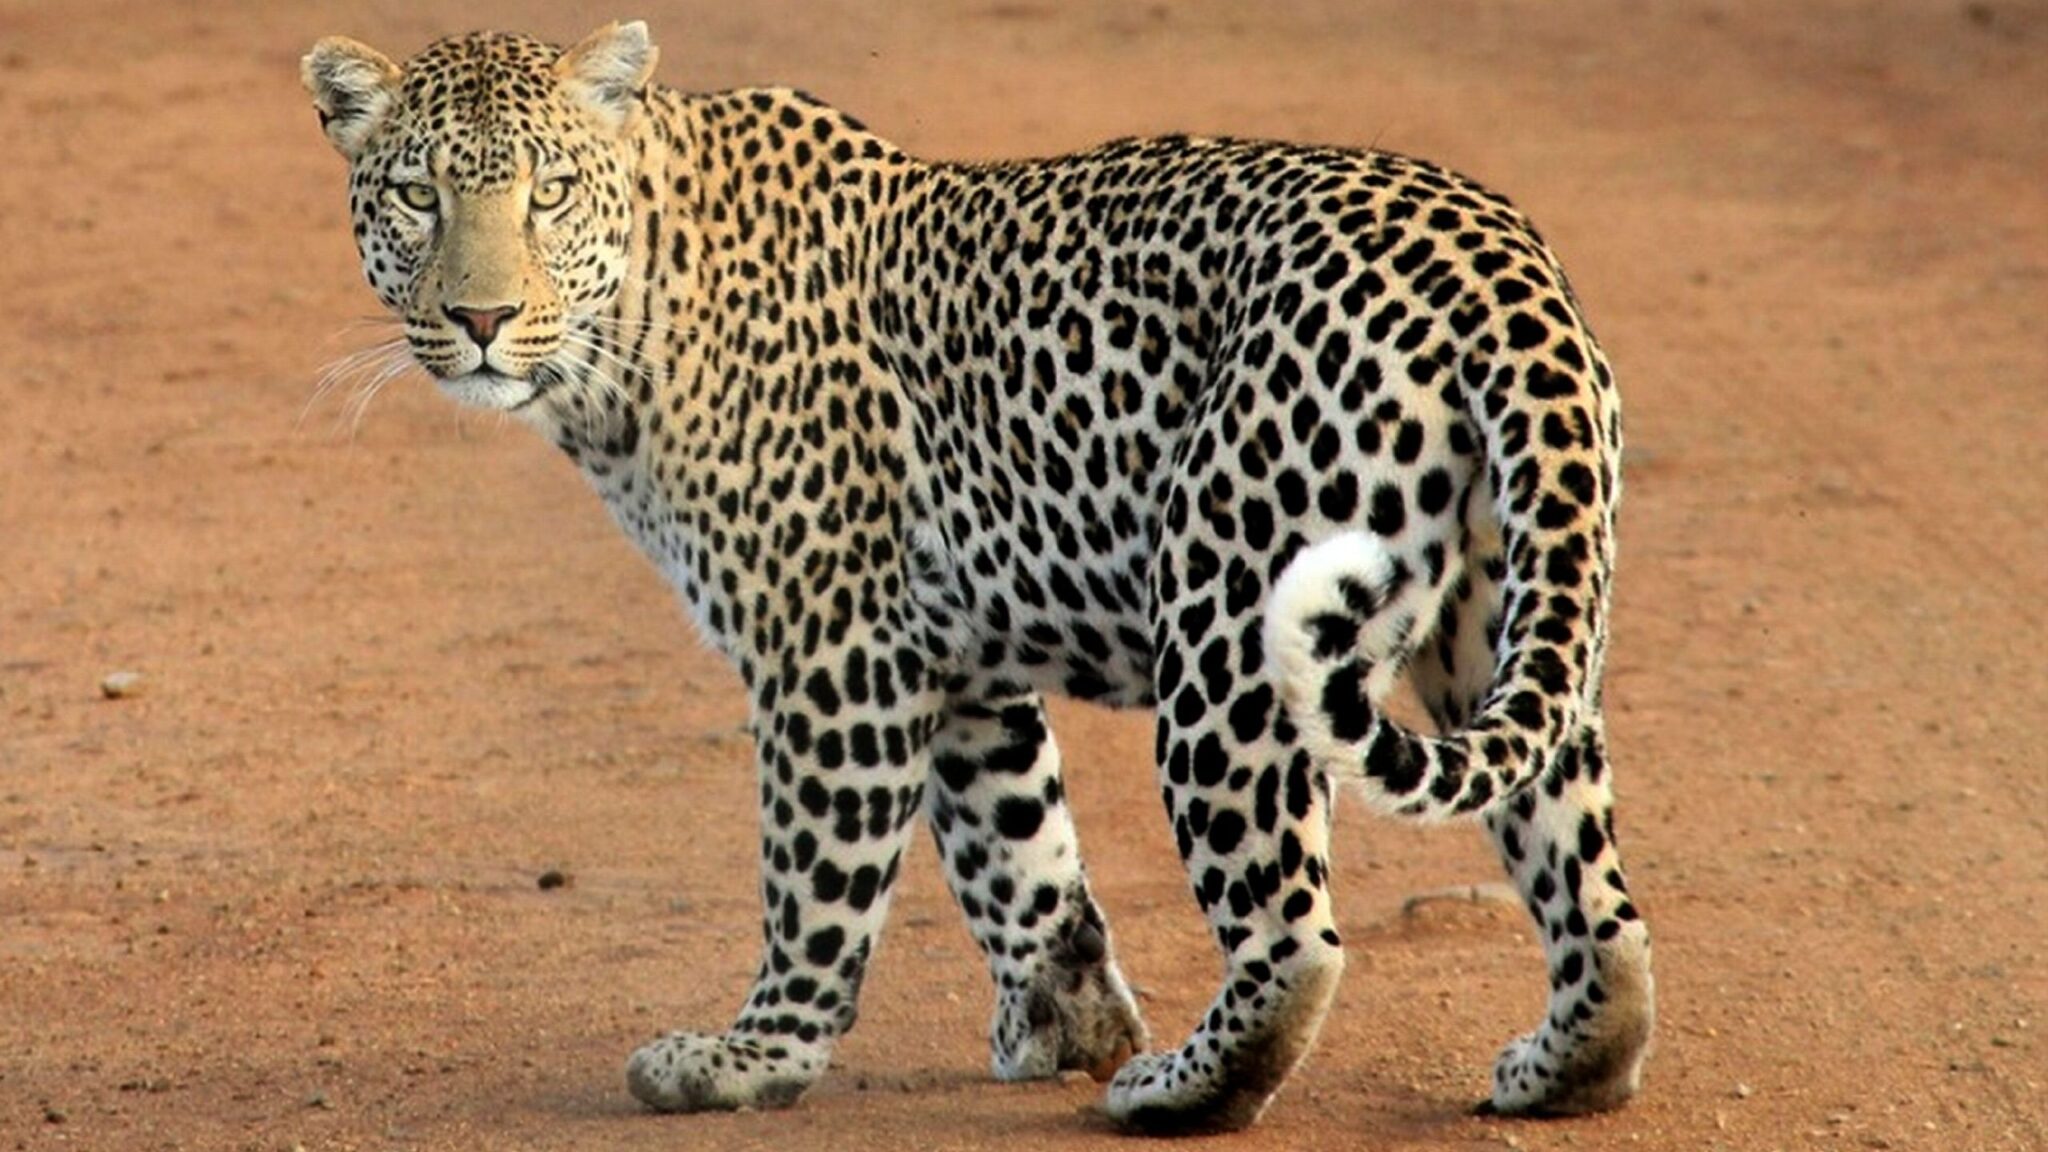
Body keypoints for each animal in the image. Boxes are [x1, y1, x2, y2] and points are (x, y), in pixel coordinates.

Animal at [302, 21, 1654, 1134]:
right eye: (418, 197)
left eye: (548, 195)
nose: (480, 320)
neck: (631, 323)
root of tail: (1494, 264)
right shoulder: (952, 660)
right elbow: (1019, 853)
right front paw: (1064, 1020)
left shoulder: (833, 651)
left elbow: (817, 878)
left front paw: (753, 1058)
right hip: (1501, 618)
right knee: (1588, 886)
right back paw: (1563, 1067)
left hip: (1227, 623)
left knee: (1291, 935)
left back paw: (1176, 1090)